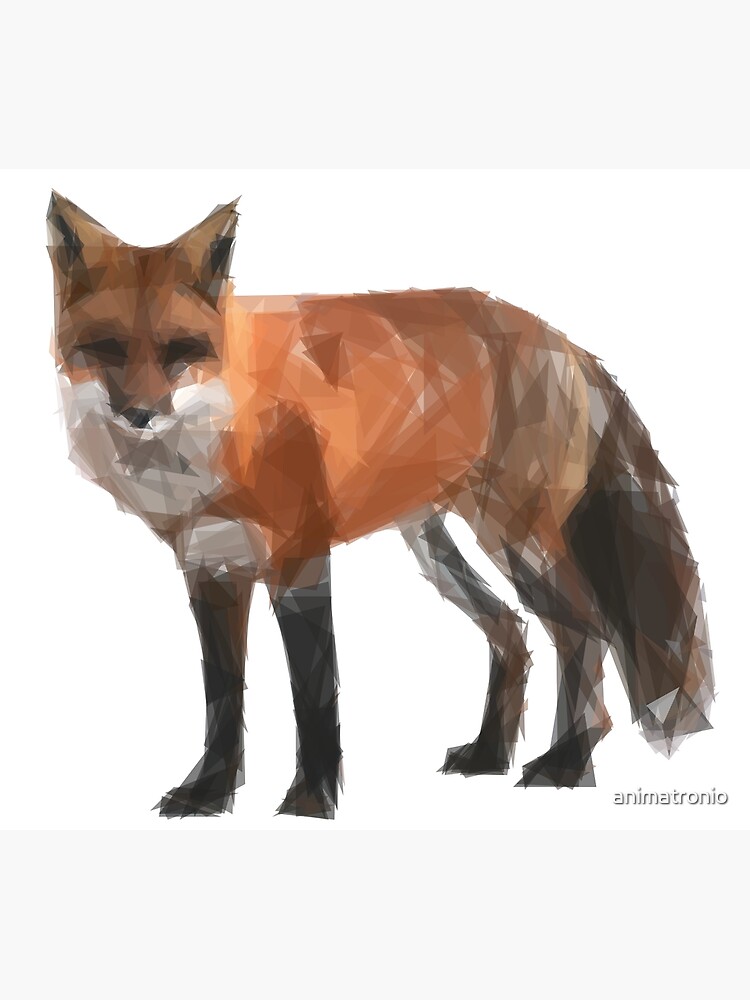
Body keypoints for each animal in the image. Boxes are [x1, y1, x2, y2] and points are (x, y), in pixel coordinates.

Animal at [48, 192, 714, 819]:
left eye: (179, 350)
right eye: (106, 347)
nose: (139, 415)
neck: (221, 435)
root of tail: (561, 339)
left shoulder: (299, 559)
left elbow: (314, 697)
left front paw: (311, 802)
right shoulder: (211, 567)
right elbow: (223, 698)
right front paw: (209, 794)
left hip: (516, 538)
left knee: (585, 632)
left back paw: (568, 763)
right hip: (434, 547)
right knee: (514, 630)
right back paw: (490, 755)